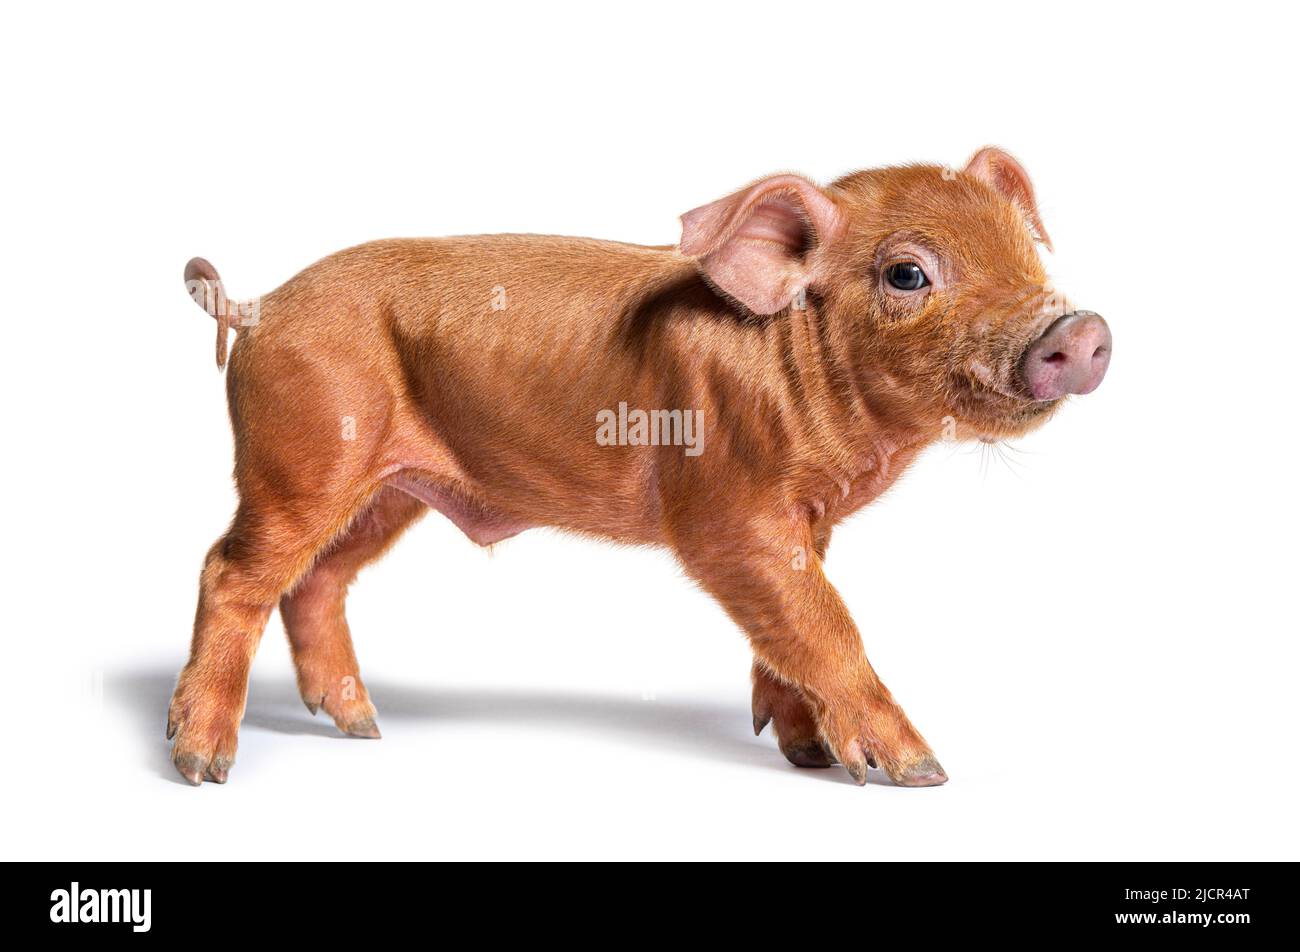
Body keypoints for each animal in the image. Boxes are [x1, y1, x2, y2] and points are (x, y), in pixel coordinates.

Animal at [171, 147, 1111, 787]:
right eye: (908, 273)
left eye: (1028, 254)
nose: (1080, 329)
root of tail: (257, 308)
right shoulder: (728, 516)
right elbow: (825, 623)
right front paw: (922, 773)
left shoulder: (808, 522)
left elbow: (787, 630)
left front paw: (804, 753)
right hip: (301, 452)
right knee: (232, 570)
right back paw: (204, 764)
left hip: (391, 487)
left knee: (318, 580)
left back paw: (363, 728)